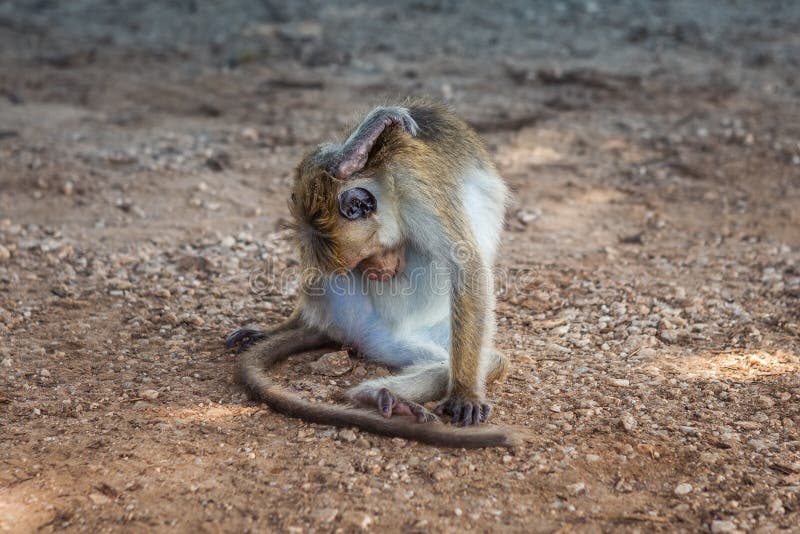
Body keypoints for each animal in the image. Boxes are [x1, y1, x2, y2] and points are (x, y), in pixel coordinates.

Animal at [226, 98, 517, 448]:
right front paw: (352, 152)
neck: (384, 177)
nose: (377, 273)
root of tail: (352, 332)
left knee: (471, 359)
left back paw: (378, 396)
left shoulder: (415, 192)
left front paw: (465, 393)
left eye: (366, 256)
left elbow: (467, 267)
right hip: (348, 312)